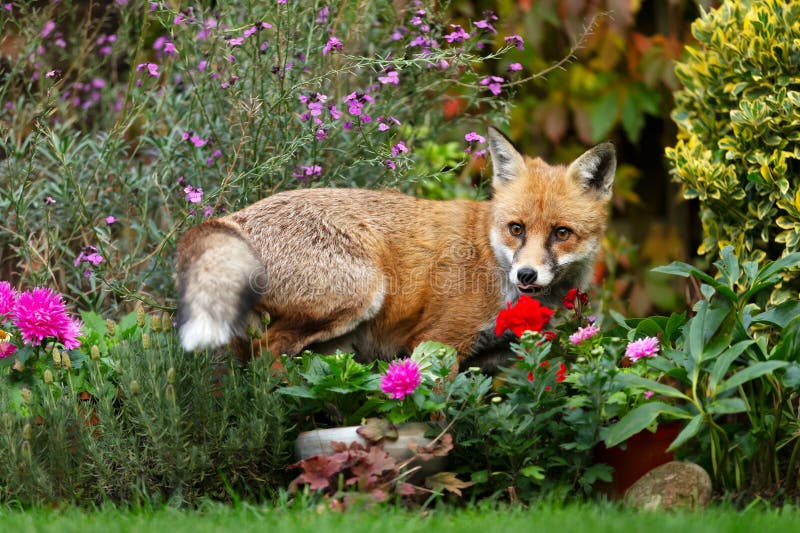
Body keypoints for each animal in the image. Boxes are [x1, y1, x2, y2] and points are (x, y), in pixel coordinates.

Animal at [175, 127, 616, 368]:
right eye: (516, 229)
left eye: (561, 233)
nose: (526, 274)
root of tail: (235, 216)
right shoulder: (437, 340)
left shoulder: (495, 358)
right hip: (359, 293)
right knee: (265, 355)